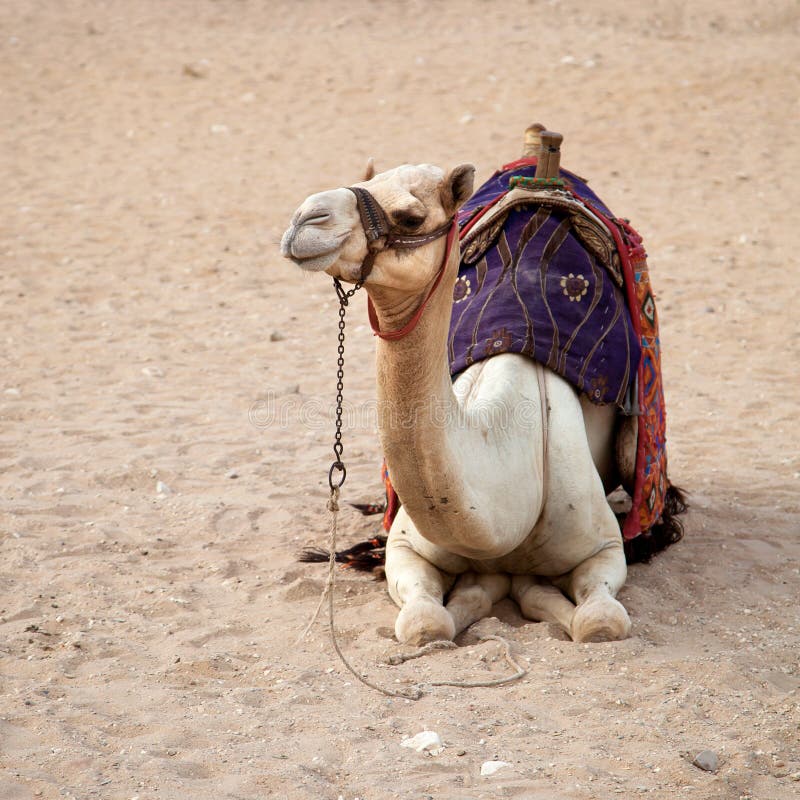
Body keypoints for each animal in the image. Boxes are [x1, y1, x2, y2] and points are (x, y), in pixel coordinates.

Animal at [281, 135, 682, 646]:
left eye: (410, 217)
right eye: (364, 182)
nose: (305, 219)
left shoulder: (605, 546)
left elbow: (598, 621)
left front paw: (533, 591)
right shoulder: (407, 548)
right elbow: (425, 622)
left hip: (636, 453)